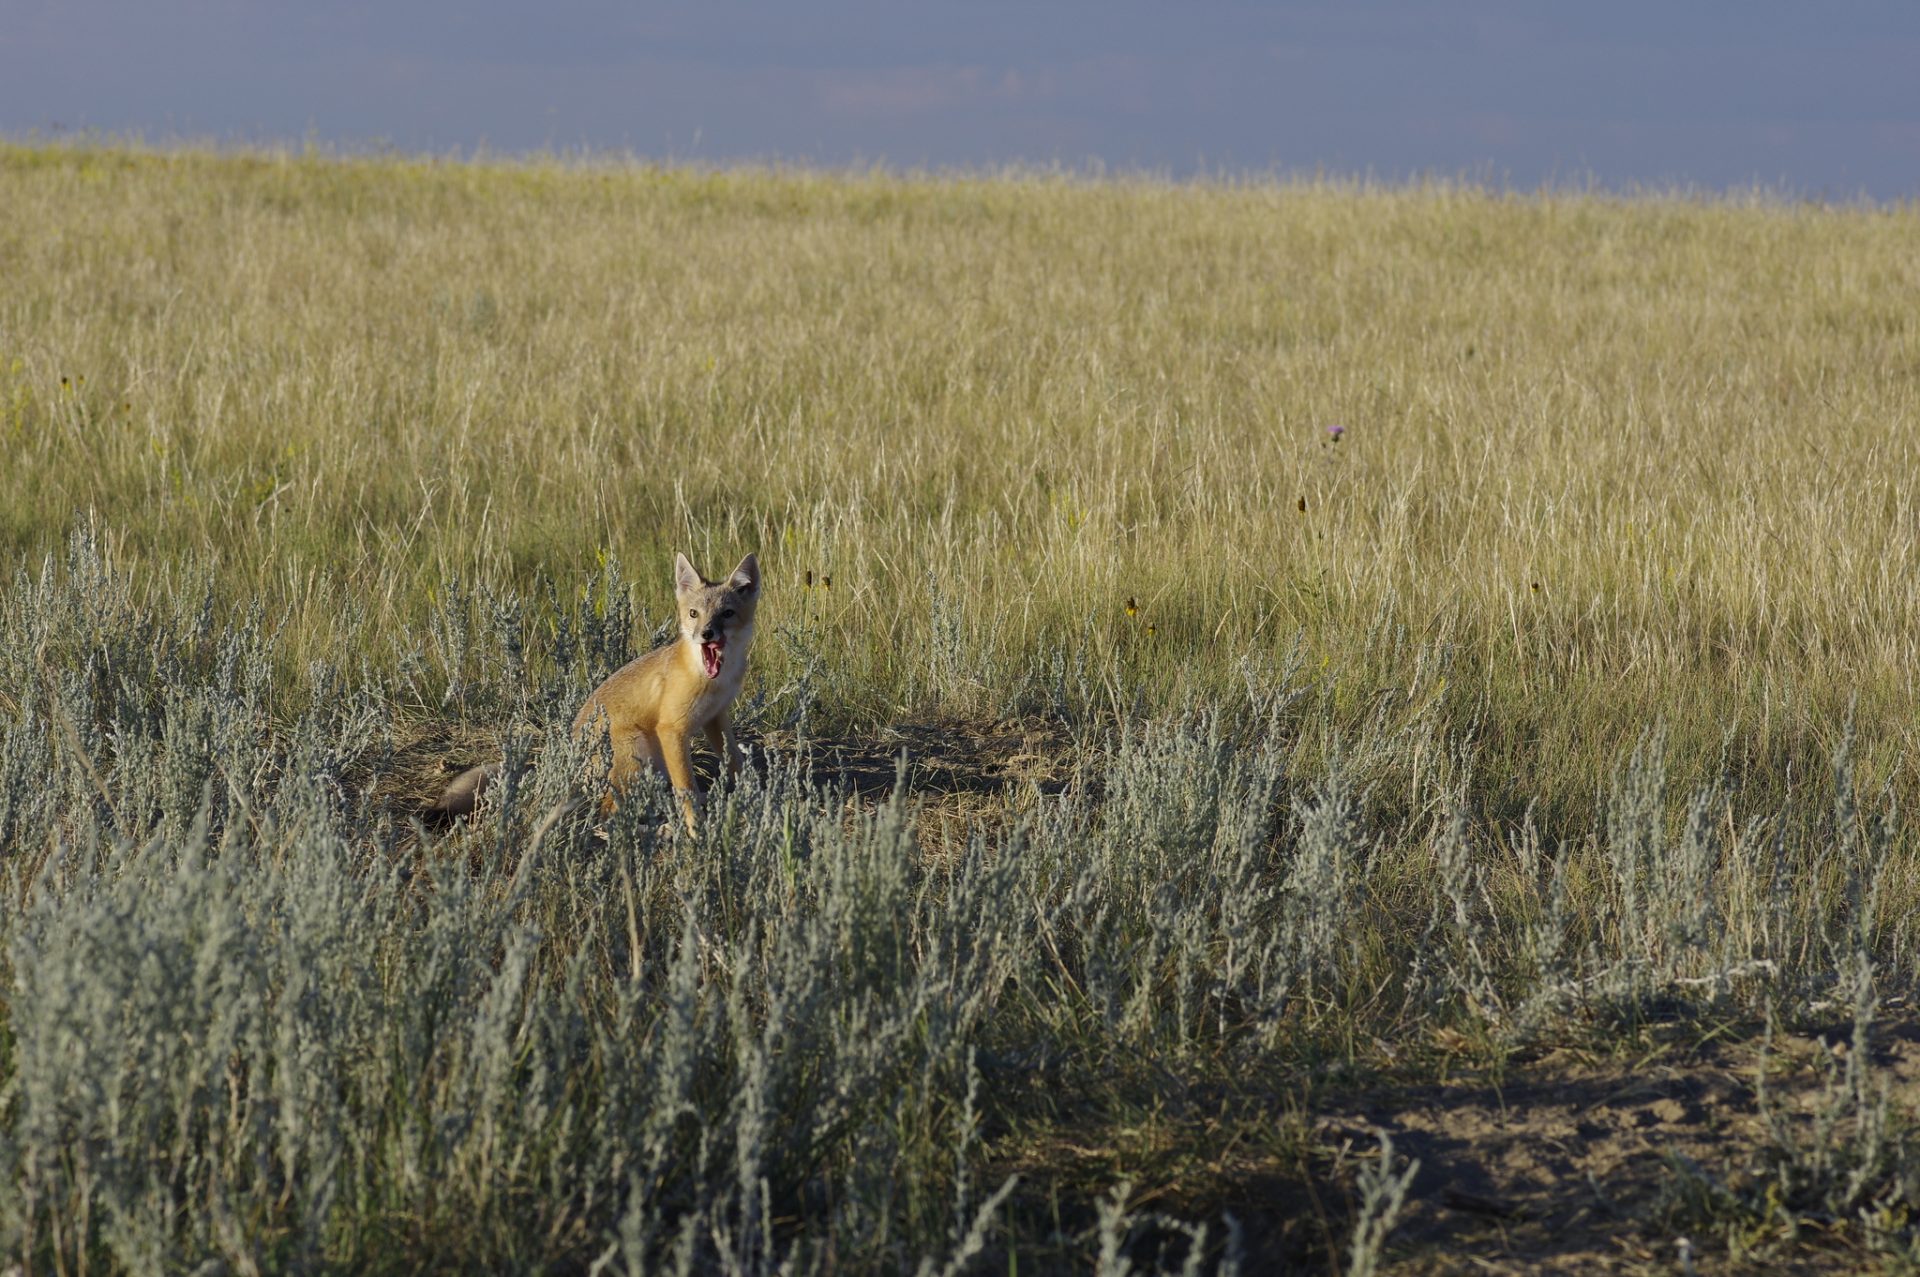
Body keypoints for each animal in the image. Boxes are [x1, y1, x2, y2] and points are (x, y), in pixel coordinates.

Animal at [429, 551, 760, 831]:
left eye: (727, 613)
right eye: (693, 614)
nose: (706, 634)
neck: (713, 678)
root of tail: (566, 753)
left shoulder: (715, 717)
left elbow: (735, 762)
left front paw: (752, 798)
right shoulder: (672, 729)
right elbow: (686, 788)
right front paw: (695, 828)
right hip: (637, 756)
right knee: (606, 815)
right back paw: (653, 830)